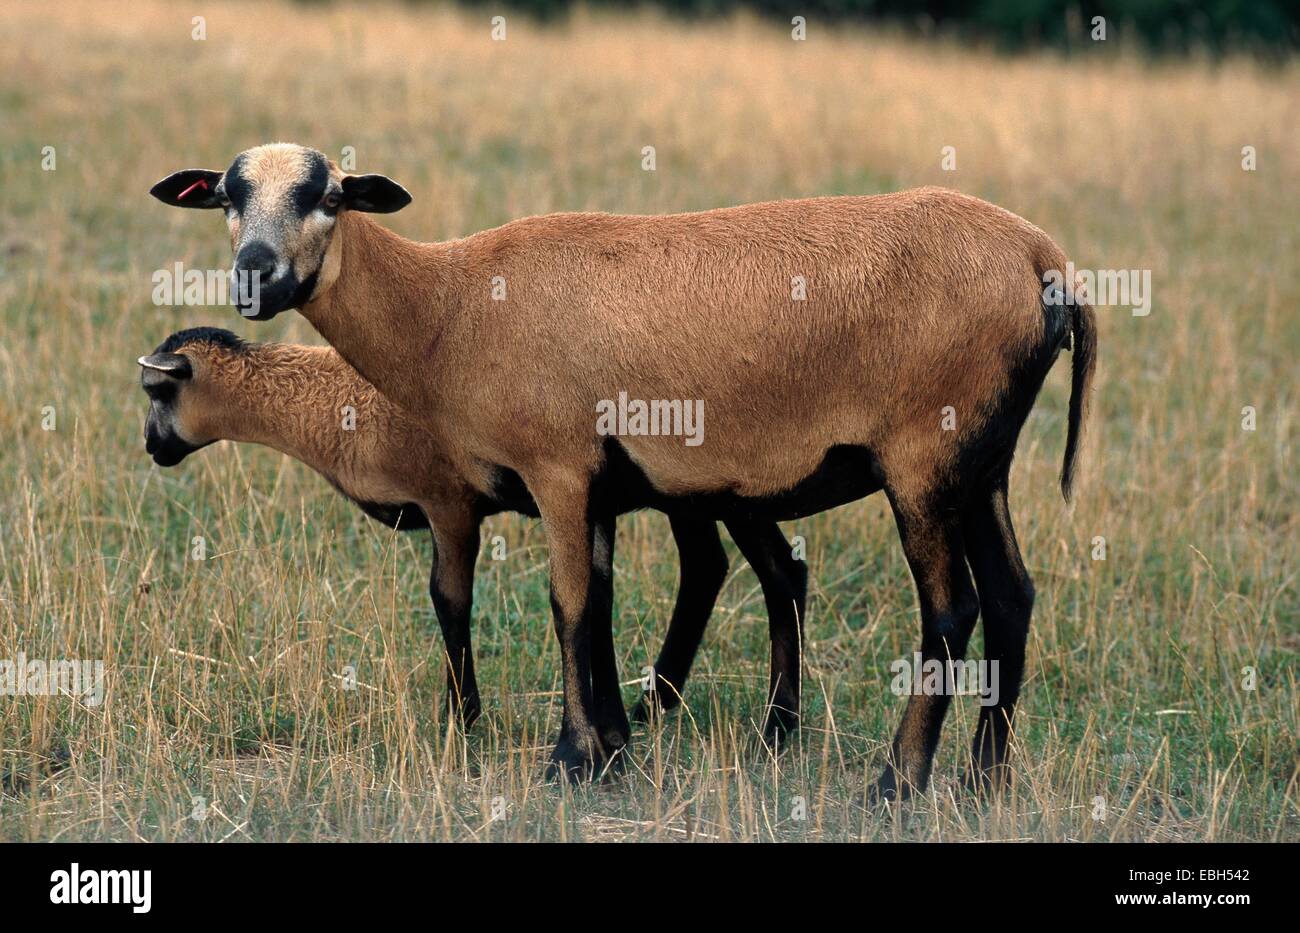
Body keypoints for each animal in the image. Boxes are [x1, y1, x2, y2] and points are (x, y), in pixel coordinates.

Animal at [137, 326, 808, 751]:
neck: (341, 403)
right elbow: (599, 597)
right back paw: (711, 714)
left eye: (156, 390)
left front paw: (463, 718)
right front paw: (609, 727)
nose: (150, 448)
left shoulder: (449, 503)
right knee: (744, 568)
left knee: (738, 568)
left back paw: (747, 721)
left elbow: (450, 599)